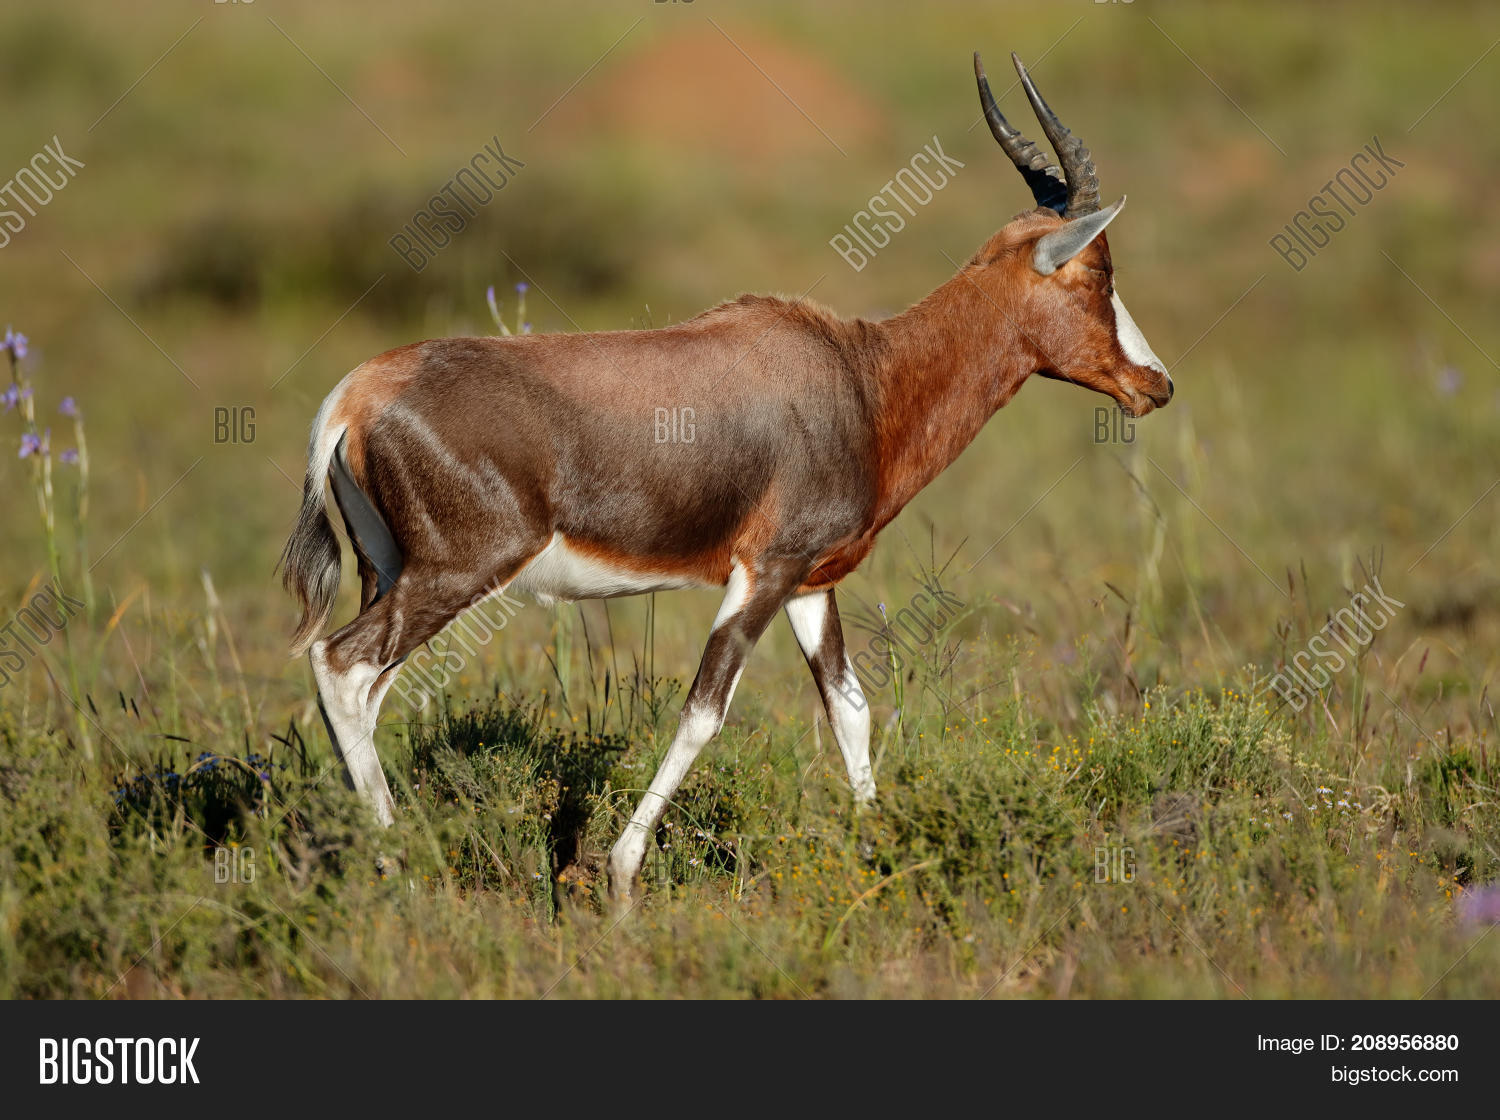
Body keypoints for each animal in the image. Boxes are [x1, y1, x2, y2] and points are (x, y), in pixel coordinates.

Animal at [279, 51, 1172, 901]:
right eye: (1099, 273)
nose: (1156, 384)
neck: (859, 375)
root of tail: (358, 394)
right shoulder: (762, 573)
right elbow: (704, 713)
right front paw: (622, 875)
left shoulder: (811, 583)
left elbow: (850, 710)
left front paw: (880, 856)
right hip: (458, 572)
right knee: (343, 667)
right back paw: (397, 864)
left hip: (390, 572)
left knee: (367, 691)